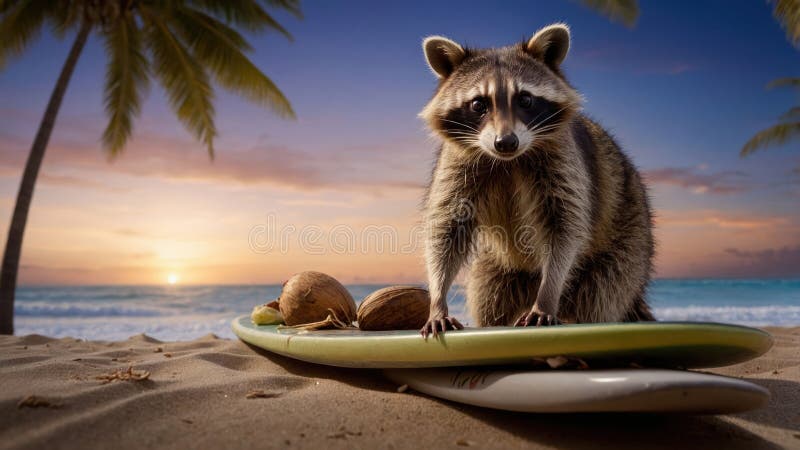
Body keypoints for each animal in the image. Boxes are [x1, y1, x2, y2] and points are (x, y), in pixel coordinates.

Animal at [419, 24, 655, 338]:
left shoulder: (565, 162)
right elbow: (446, 229)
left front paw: (547, 296)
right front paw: (438, 300)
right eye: (479, 104)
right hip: (499, 266)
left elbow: (565, 226)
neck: (509, 161)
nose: (505, 142)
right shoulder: (458, 165)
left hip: (629, 242)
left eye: (525, 99)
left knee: (601, 296)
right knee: (487, 298)